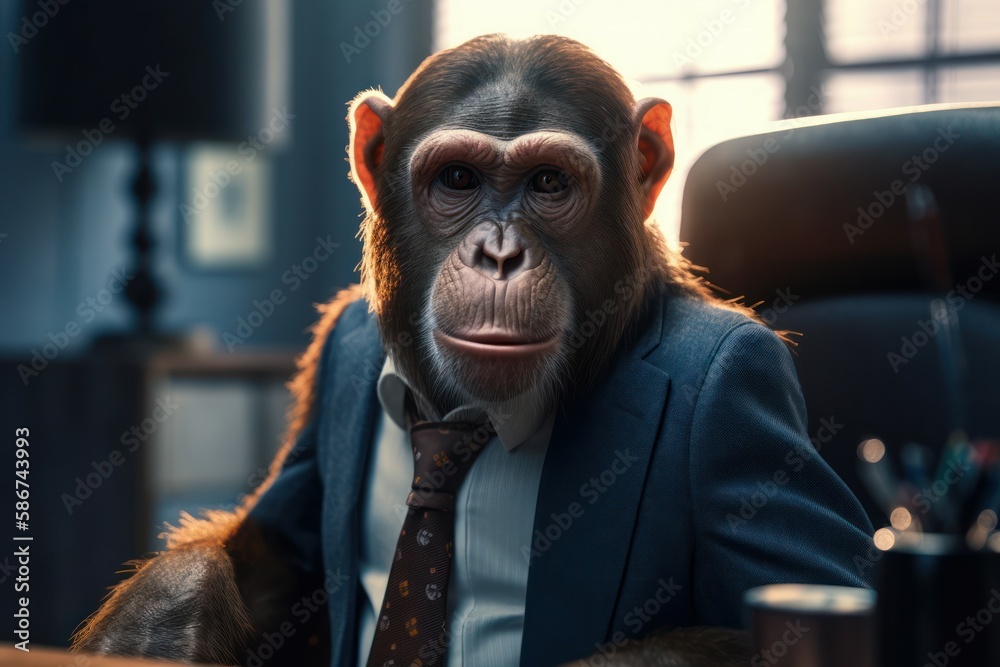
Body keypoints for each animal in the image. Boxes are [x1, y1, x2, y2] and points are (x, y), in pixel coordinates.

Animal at [73, 34, 872, 666]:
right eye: (458, 178)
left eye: (549, 182)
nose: (499, 254)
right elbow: (274, 546)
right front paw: (158, 625)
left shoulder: (742, 404)